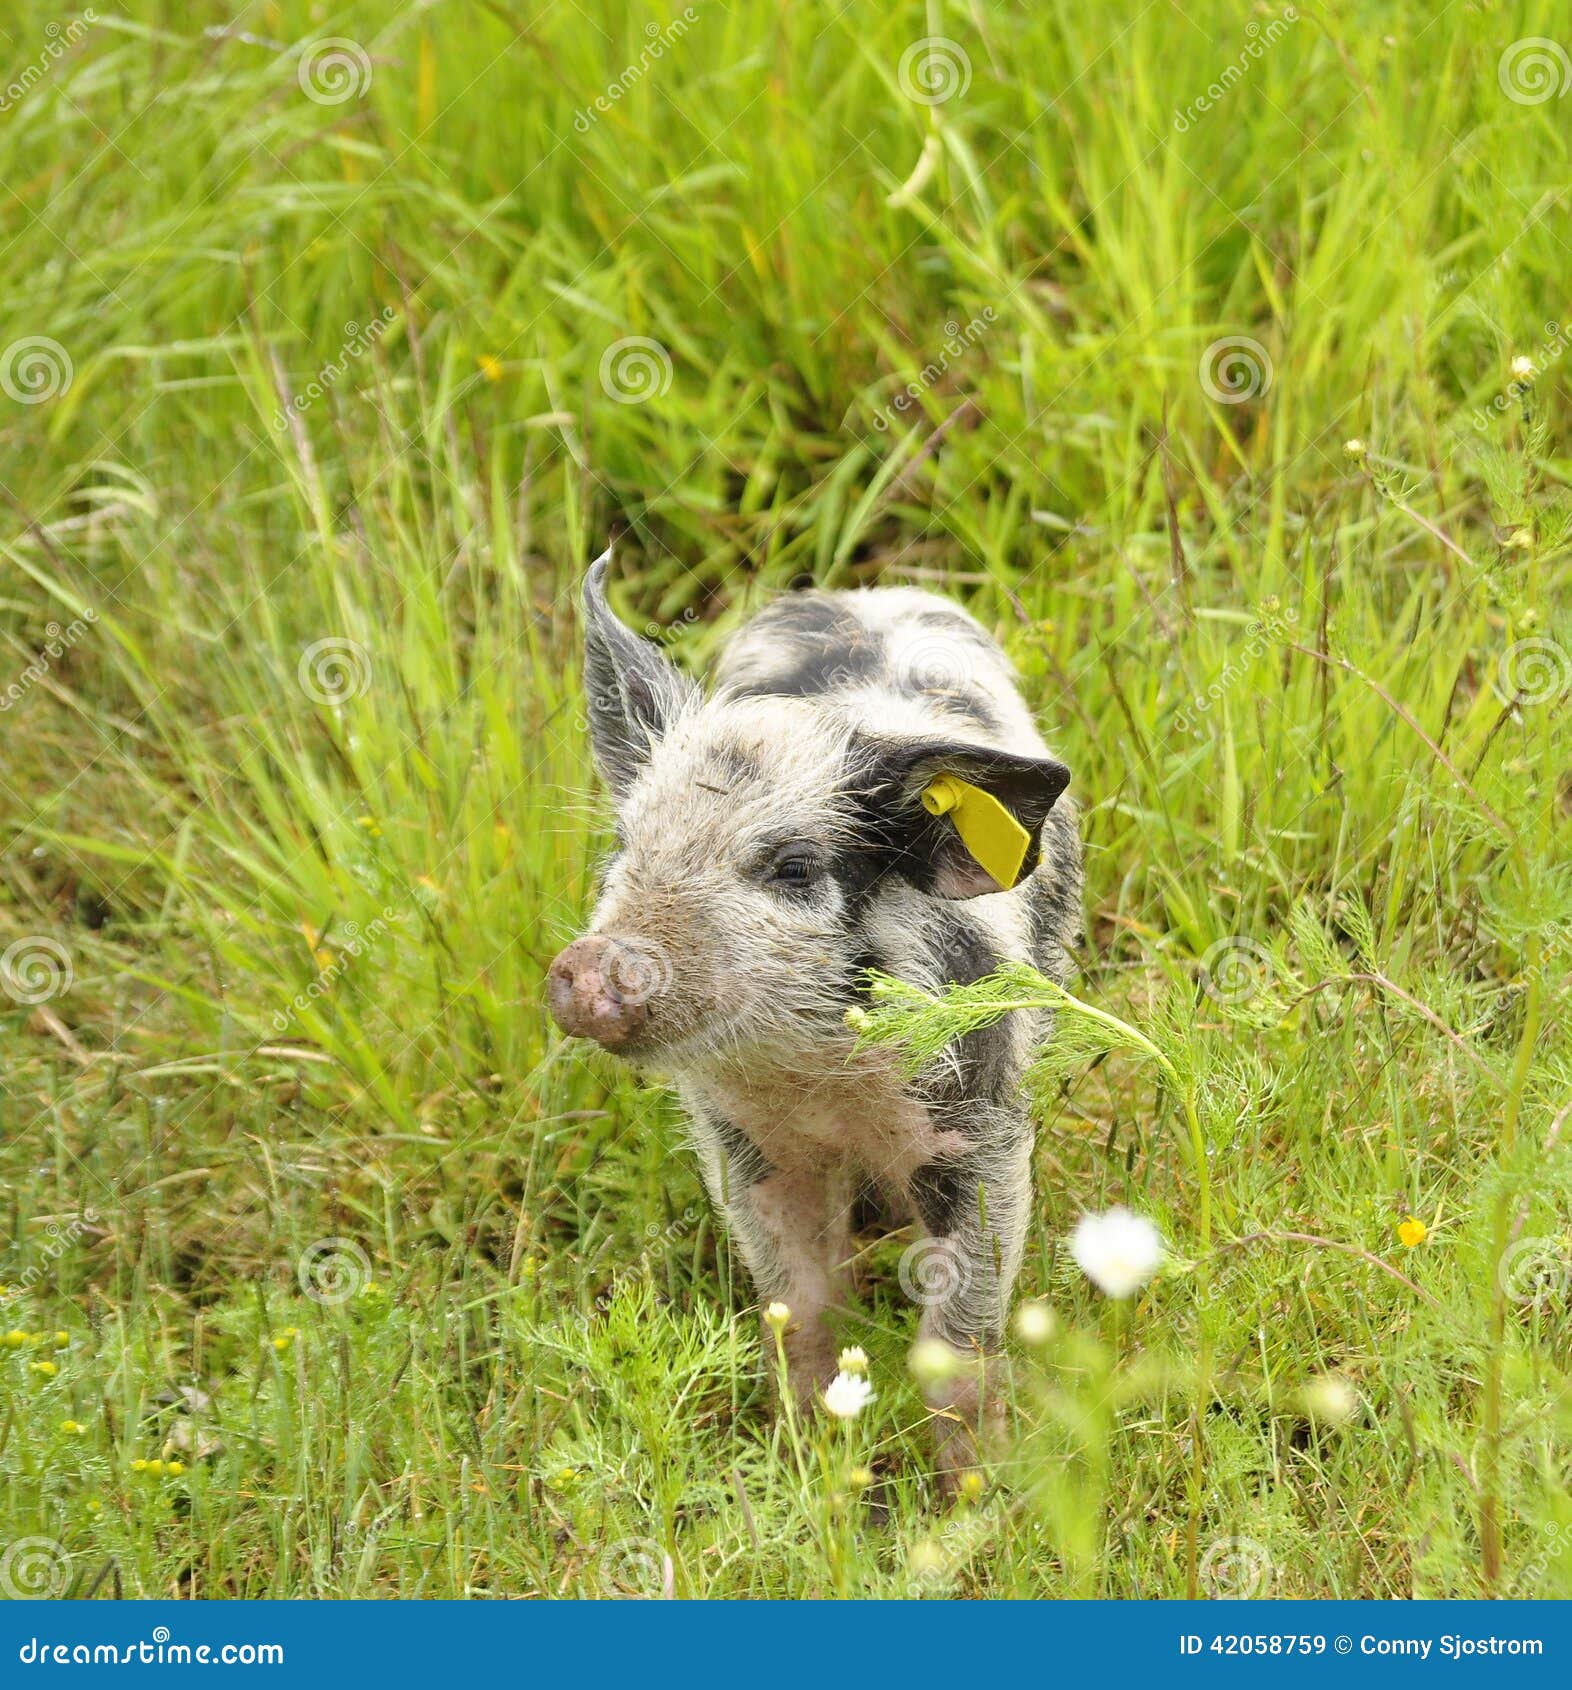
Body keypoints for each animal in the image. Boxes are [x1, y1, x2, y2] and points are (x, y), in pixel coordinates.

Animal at [548, 550, 1081, 1482]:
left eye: (794, 866)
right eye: (626, 845)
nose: (592, 968)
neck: (817, 1081)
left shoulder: (981, 1127)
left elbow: (959, 1342)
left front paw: (982, 1492)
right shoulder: (744, 1146)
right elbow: (798, 1307)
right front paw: (808, 1457)